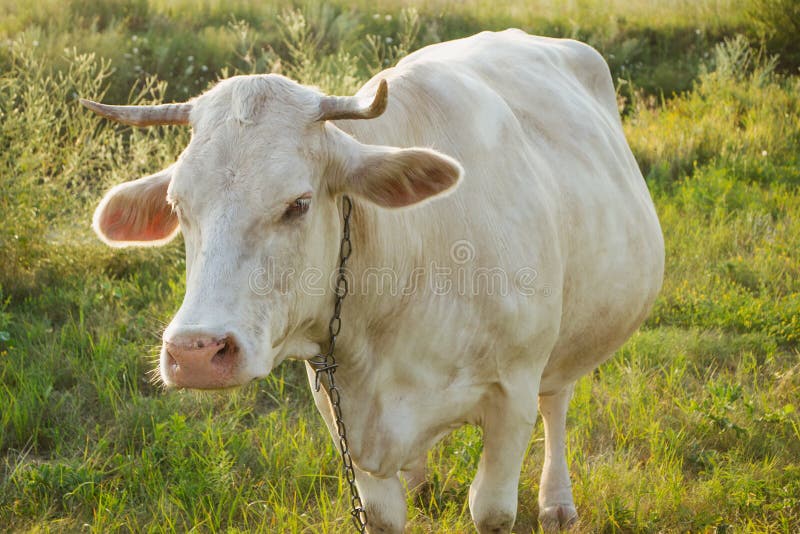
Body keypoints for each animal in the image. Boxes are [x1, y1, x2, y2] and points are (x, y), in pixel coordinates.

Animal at [81, 29, 664, 533]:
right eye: (179, 205)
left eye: (299, 203)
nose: (197, 352)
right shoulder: (339, 408)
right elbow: (383, 512)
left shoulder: (512, 392)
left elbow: (492, 508)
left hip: (566, 341)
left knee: (557, 401)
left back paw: (556, 502)